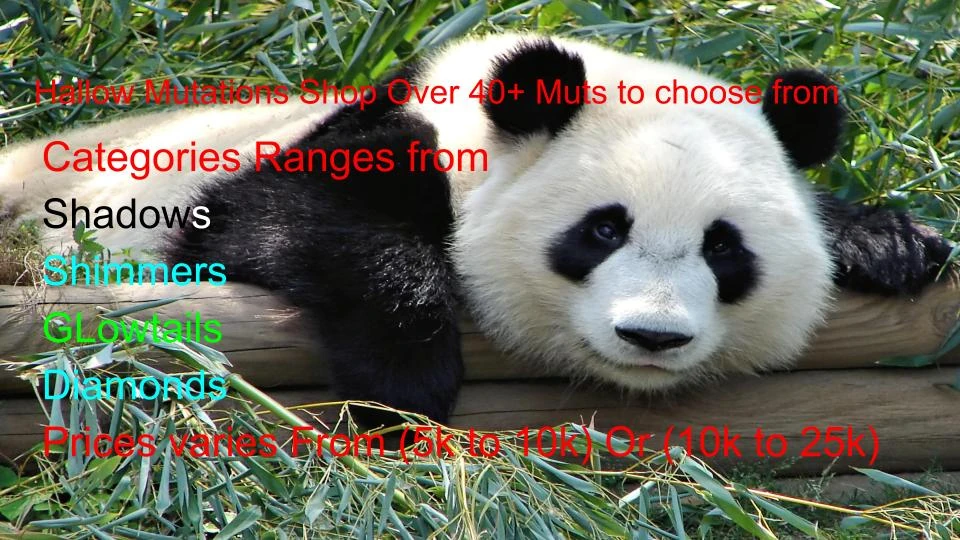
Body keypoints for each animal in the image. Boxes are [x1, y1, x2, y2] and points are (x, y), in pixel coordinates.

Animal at [1, 33, 952, 425]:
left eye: (725, 248)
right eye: (602, 231)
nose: (652, 335)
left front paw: (890, 244)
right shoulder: (336, 146)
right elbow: (279, 222)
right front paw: (406, 382)